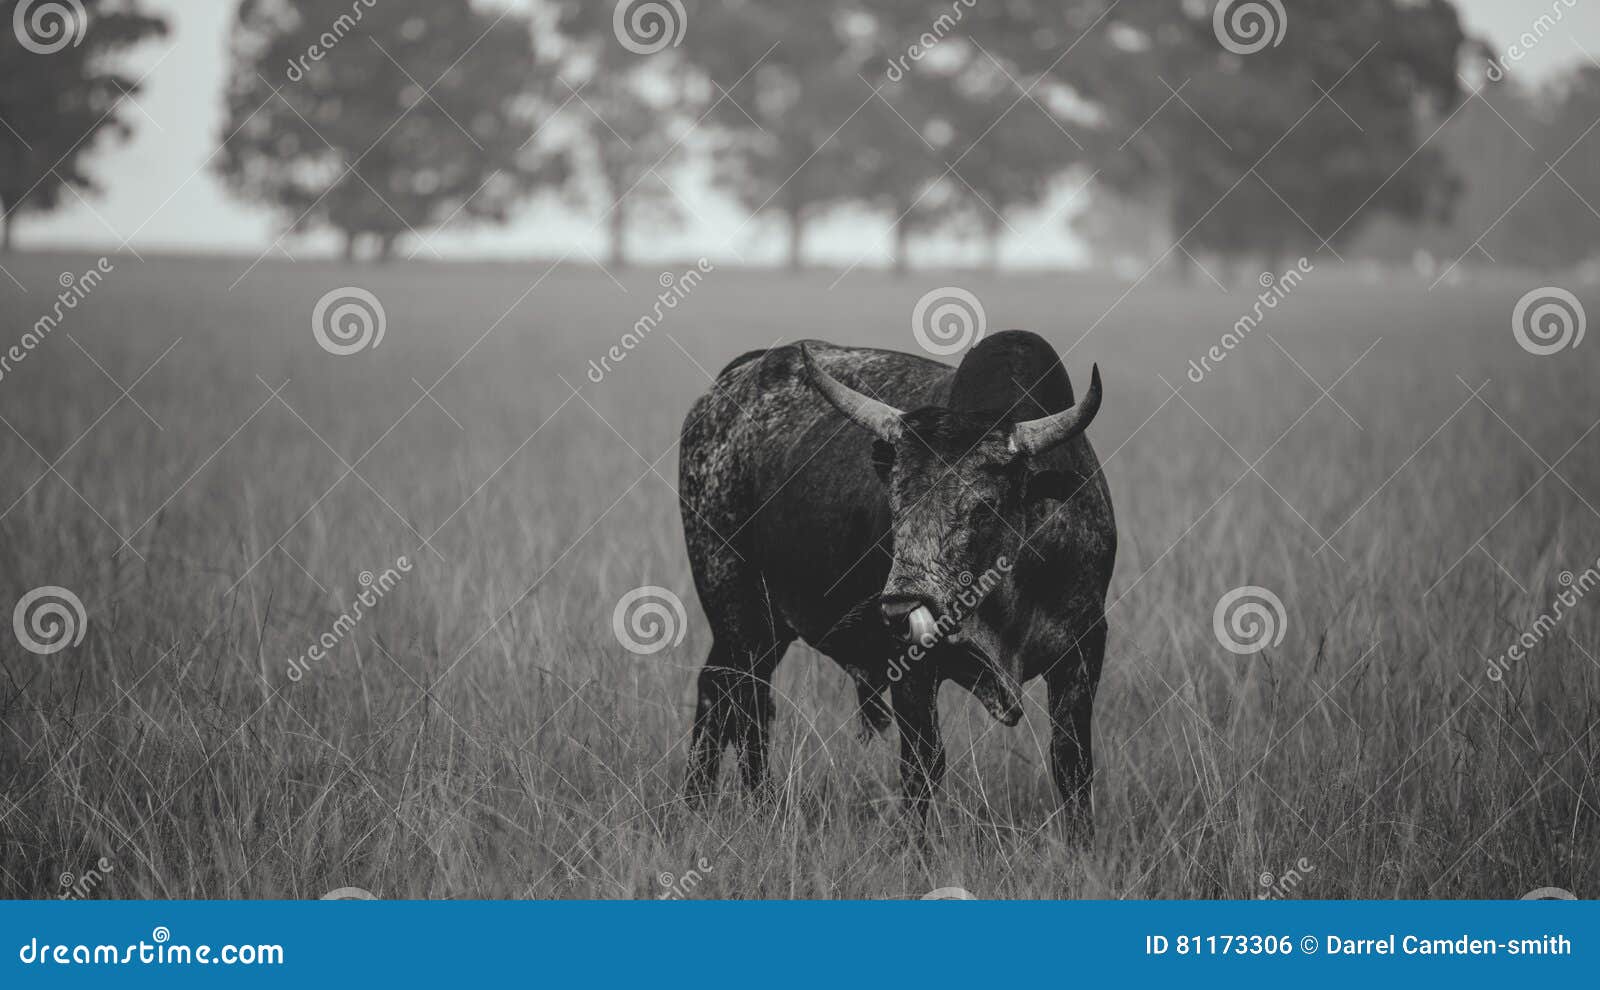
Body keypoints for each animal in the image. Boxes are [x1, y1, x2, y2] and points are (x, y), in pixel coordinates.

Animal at [677, 330, 1116, 833]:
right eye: (895, 501)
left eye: (985, 506)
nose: (900, 610)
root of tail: (727, 387)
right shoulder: (910, 667)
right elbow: (923, 765)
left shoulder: (1085, 647)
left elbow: (1072, 764)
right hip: (736, 607)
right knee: (741, 699)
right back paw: (750, 804)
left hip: (764, 628)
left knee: (723, 691)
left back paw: (707, 804)